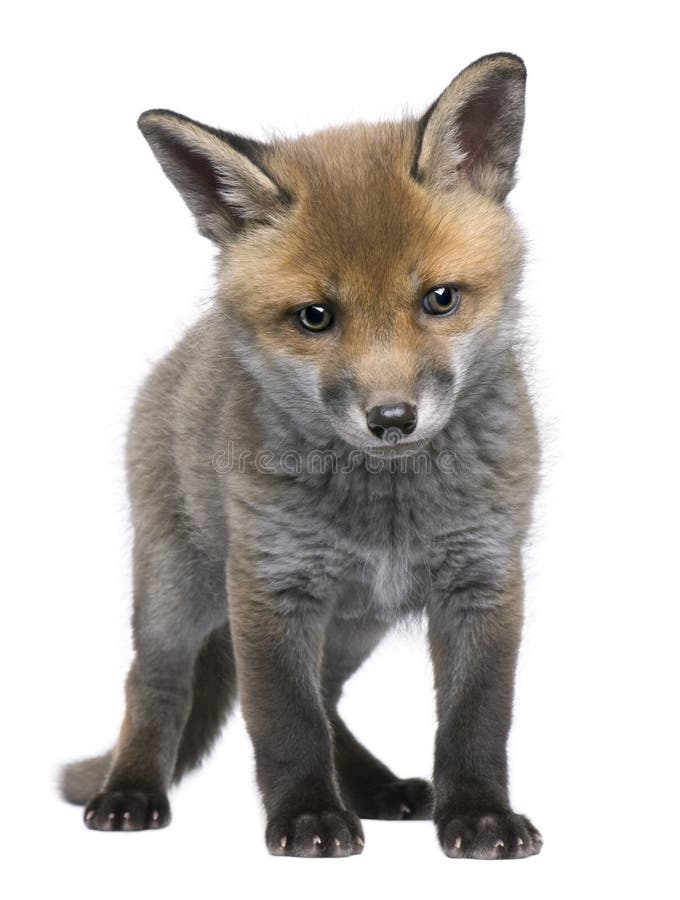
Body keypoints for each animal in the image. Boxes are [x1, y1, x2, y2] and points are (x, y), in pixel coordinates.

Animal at [60, 52, 542, 860]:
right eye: (316, 316)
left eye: (441, 299)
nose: (392, 419)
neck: (388, 505)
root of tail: (184, 350)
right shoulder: (270, 588)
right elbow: (286, 724)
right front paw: (309, 816)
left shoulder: (484, 579)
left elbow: (476, 720)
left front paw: (478, 815)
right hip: (178, 593)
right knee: (153, 687)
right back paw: (129, 792)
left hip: (355, 624)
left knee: (331, 698)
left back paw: (377, 788)